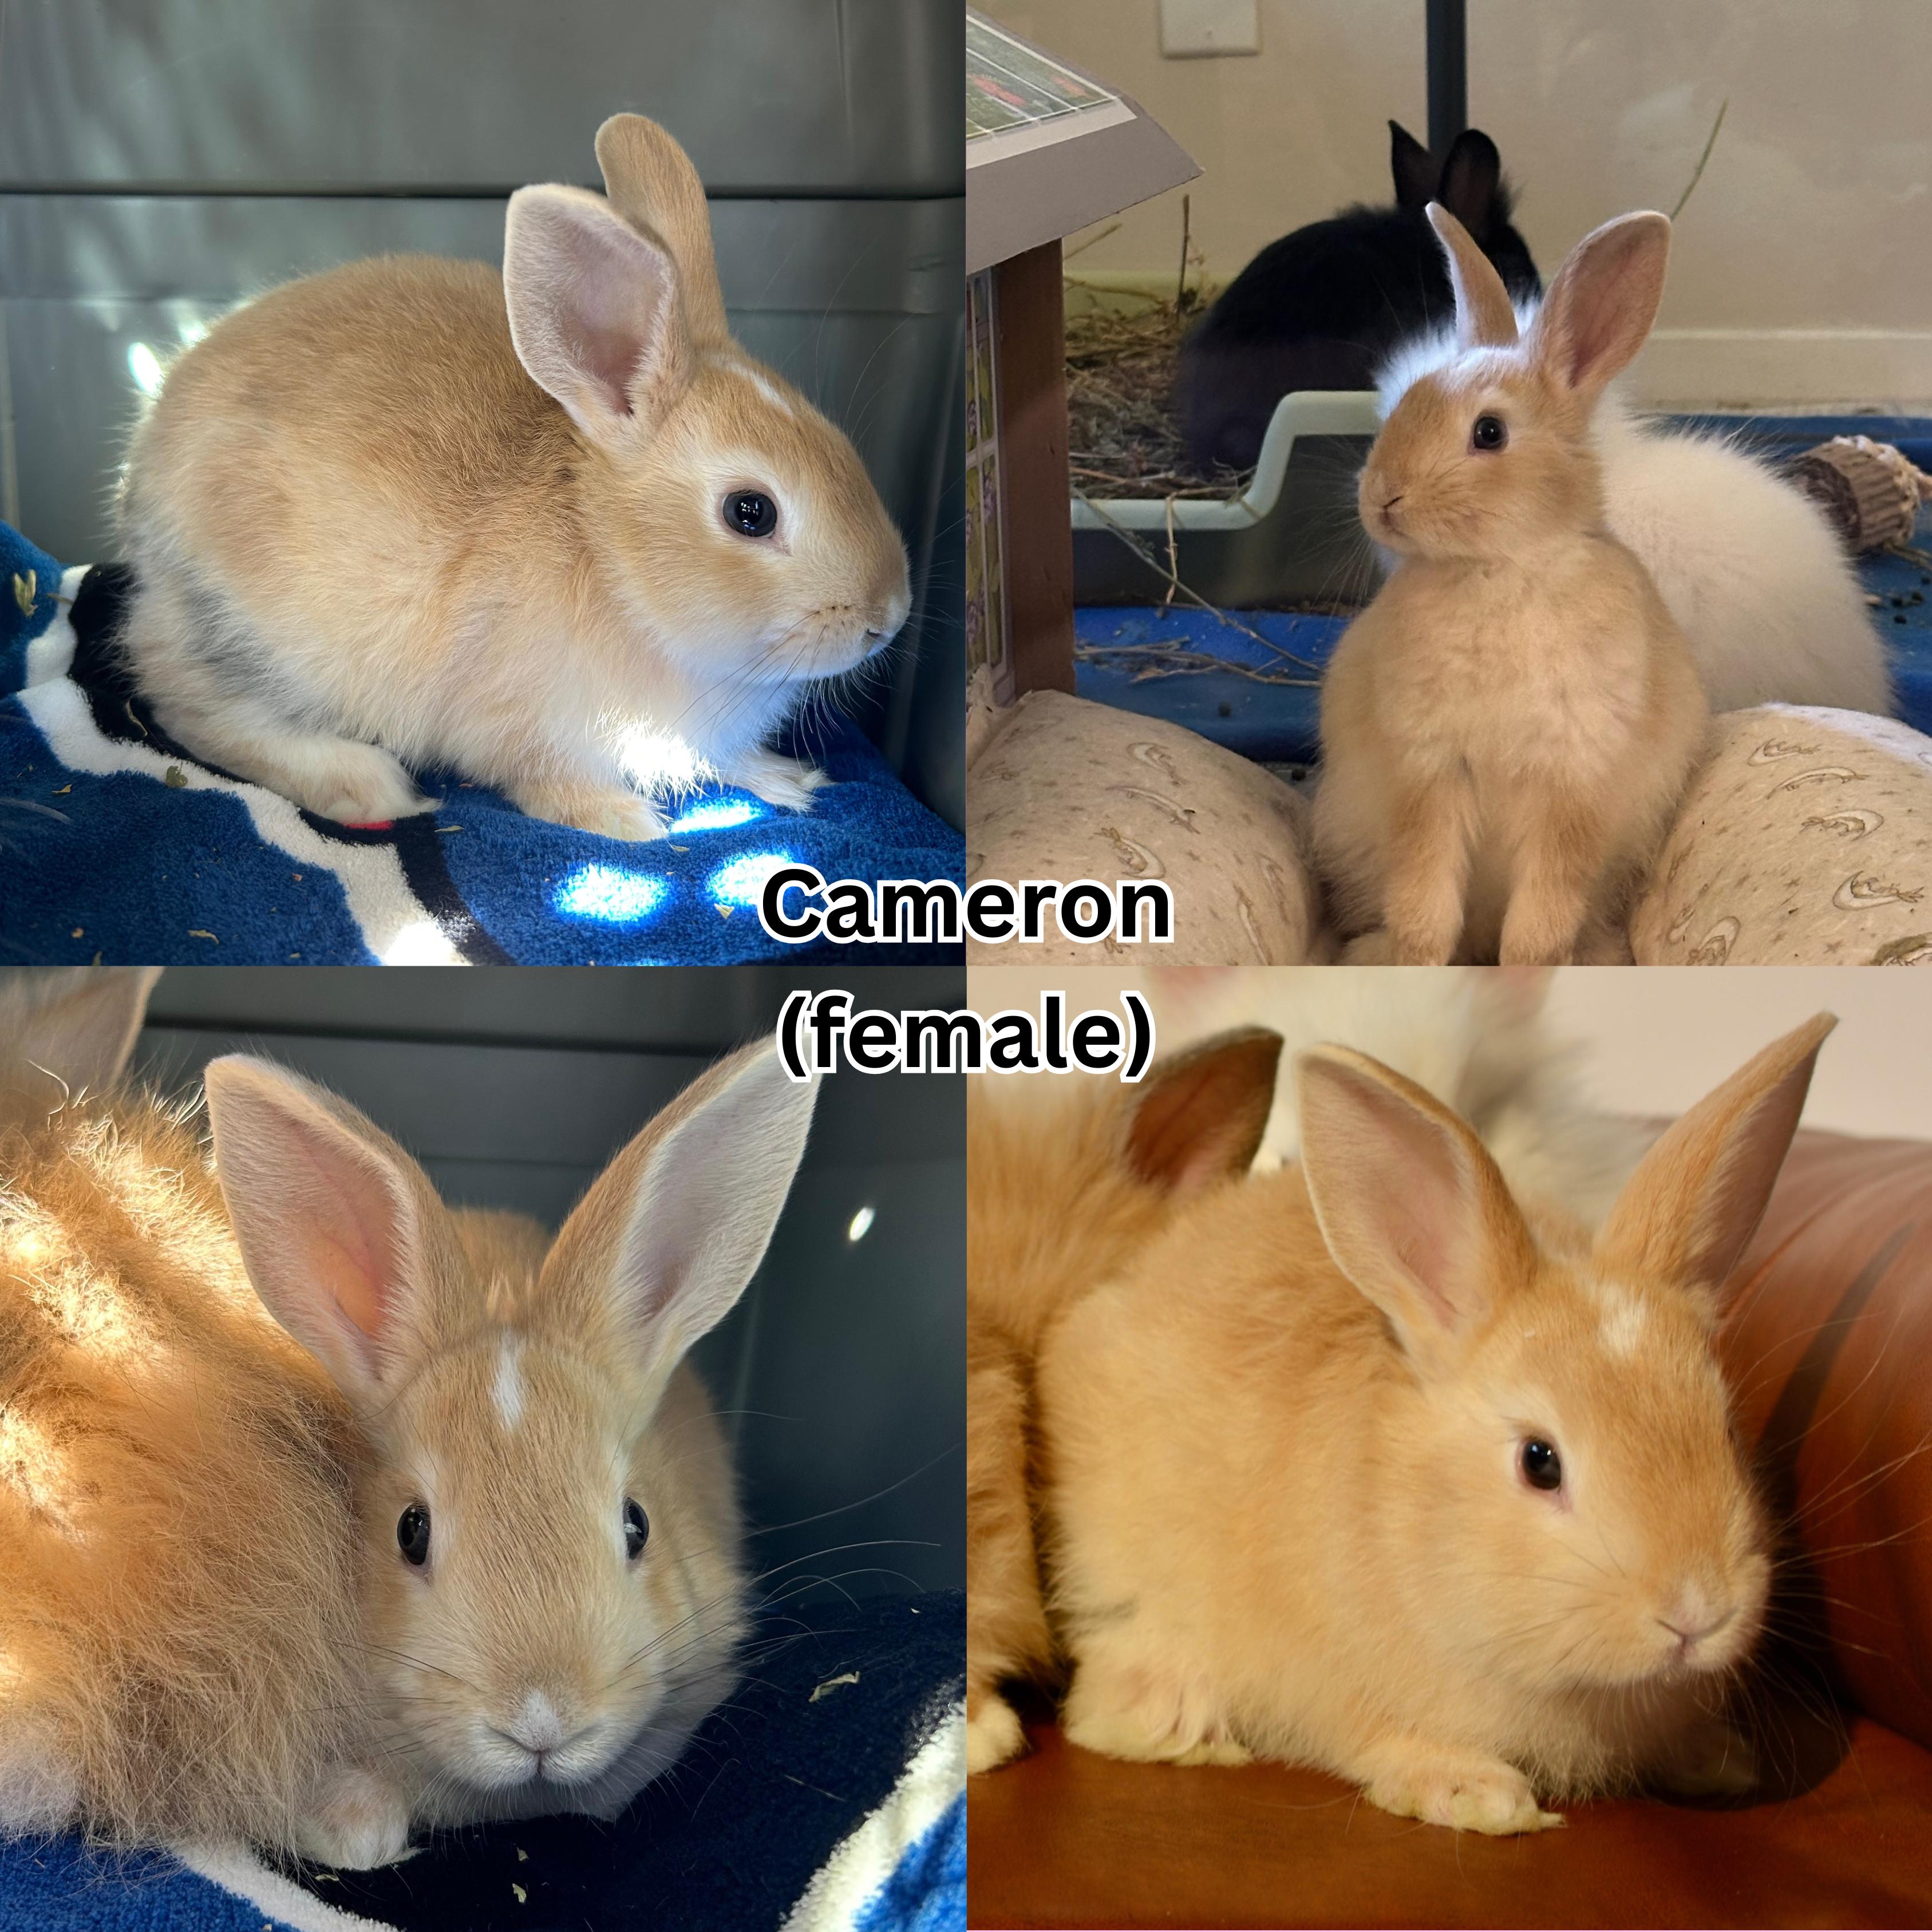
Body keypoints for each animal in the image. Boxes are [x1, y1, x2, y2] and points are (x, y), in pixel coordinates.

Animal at [115, 114, 911, 840]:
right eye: (751, 512)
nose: (889, 618)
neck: (610, 555)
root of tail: (143, 466)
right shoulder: (522, 728)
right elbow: (547, 783)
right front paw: (630, 823)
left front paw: (787, 780)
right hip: (260, 637)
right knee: (182, 701)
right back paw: (364, 786)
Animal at [1038, 1013, 1834, 1833]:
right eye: (1539, 1460)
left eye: (1727, 1432)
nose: (1696, 1613)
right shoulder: (1336, 1687)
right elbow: (1380, 1737)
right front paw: (1479, 1794)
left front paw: (1721, 1760)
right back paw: (1173, 1719)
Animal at [1312, 203, 1710, 965]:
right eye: (1404, 404)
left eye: (1490, 433)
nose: (1381, 498)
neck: (1501, 568)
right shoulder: (1430, 775)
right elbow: (1424, 900)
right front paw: (1416, 965)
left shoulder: (1572, 787)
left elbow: (1542, 916)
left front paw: (1527, 970)